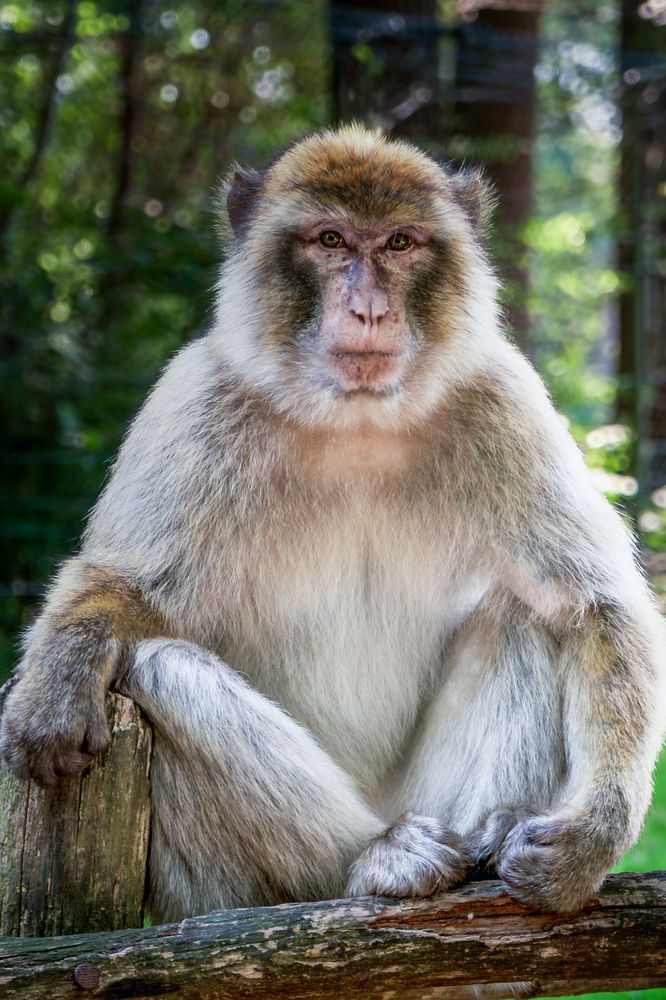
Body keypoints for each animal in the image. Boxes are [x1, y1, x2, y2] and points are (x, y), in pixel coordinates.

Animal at [1, 125, 664, 932]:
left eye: (401, 242)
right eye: (330, 239)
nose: (369, 309)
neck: (357, 419)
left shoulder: (503, 400)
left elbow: (592, 609)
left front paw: (593, 834)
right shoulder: (196, 401)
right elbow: (126, 588)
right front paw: (57, 679)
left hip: (424, 796)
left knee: (523, 618)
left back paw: (487, 838)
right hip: (211, 894)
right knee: (160, 670)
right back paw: (376, 860)